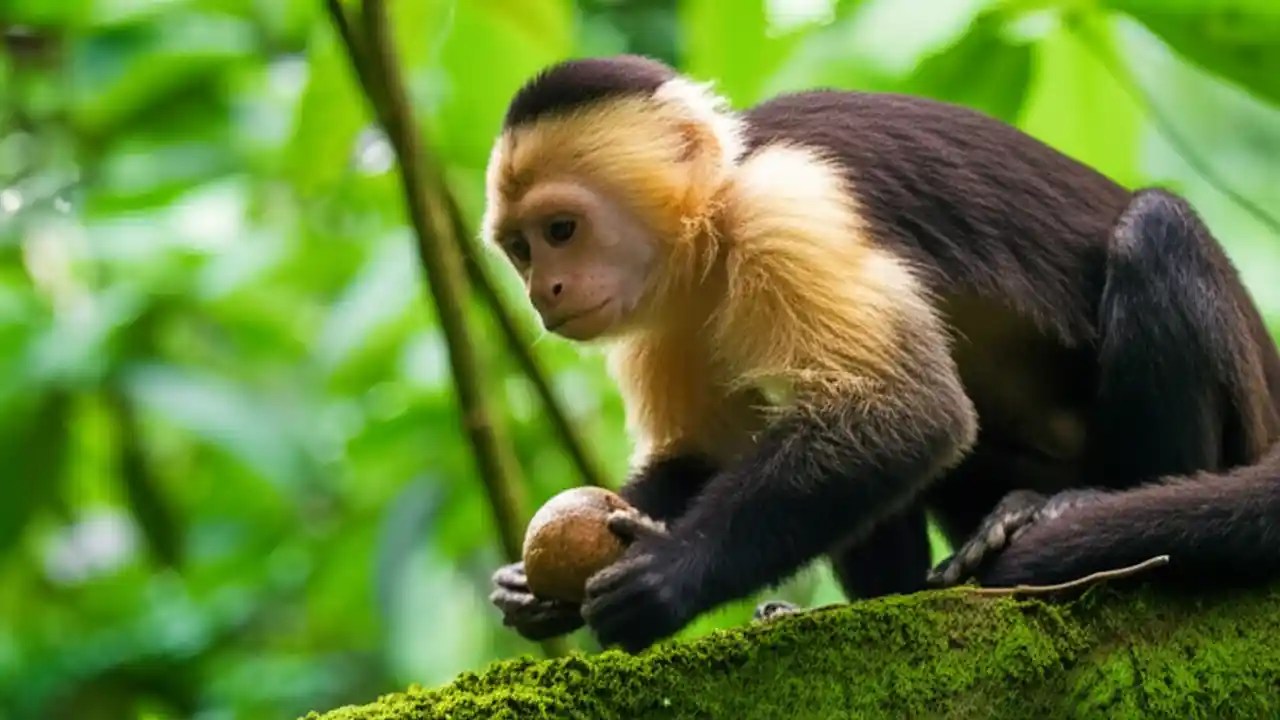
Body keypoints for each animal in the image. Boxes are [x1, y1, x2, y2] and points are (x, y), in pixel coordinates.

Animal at [482, 54, 1280, 653]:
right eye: (520, 249)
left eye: (562, 230)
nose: (545, 292)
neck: (715, 218)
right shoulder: (667, 309)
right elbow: (706, 455)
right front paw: (537, 587)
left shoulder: (787, 213)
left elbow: (909, 413)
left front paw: (672, 573)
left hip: (1245, 420)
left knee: (1155, 229)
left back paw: (1108, 515)